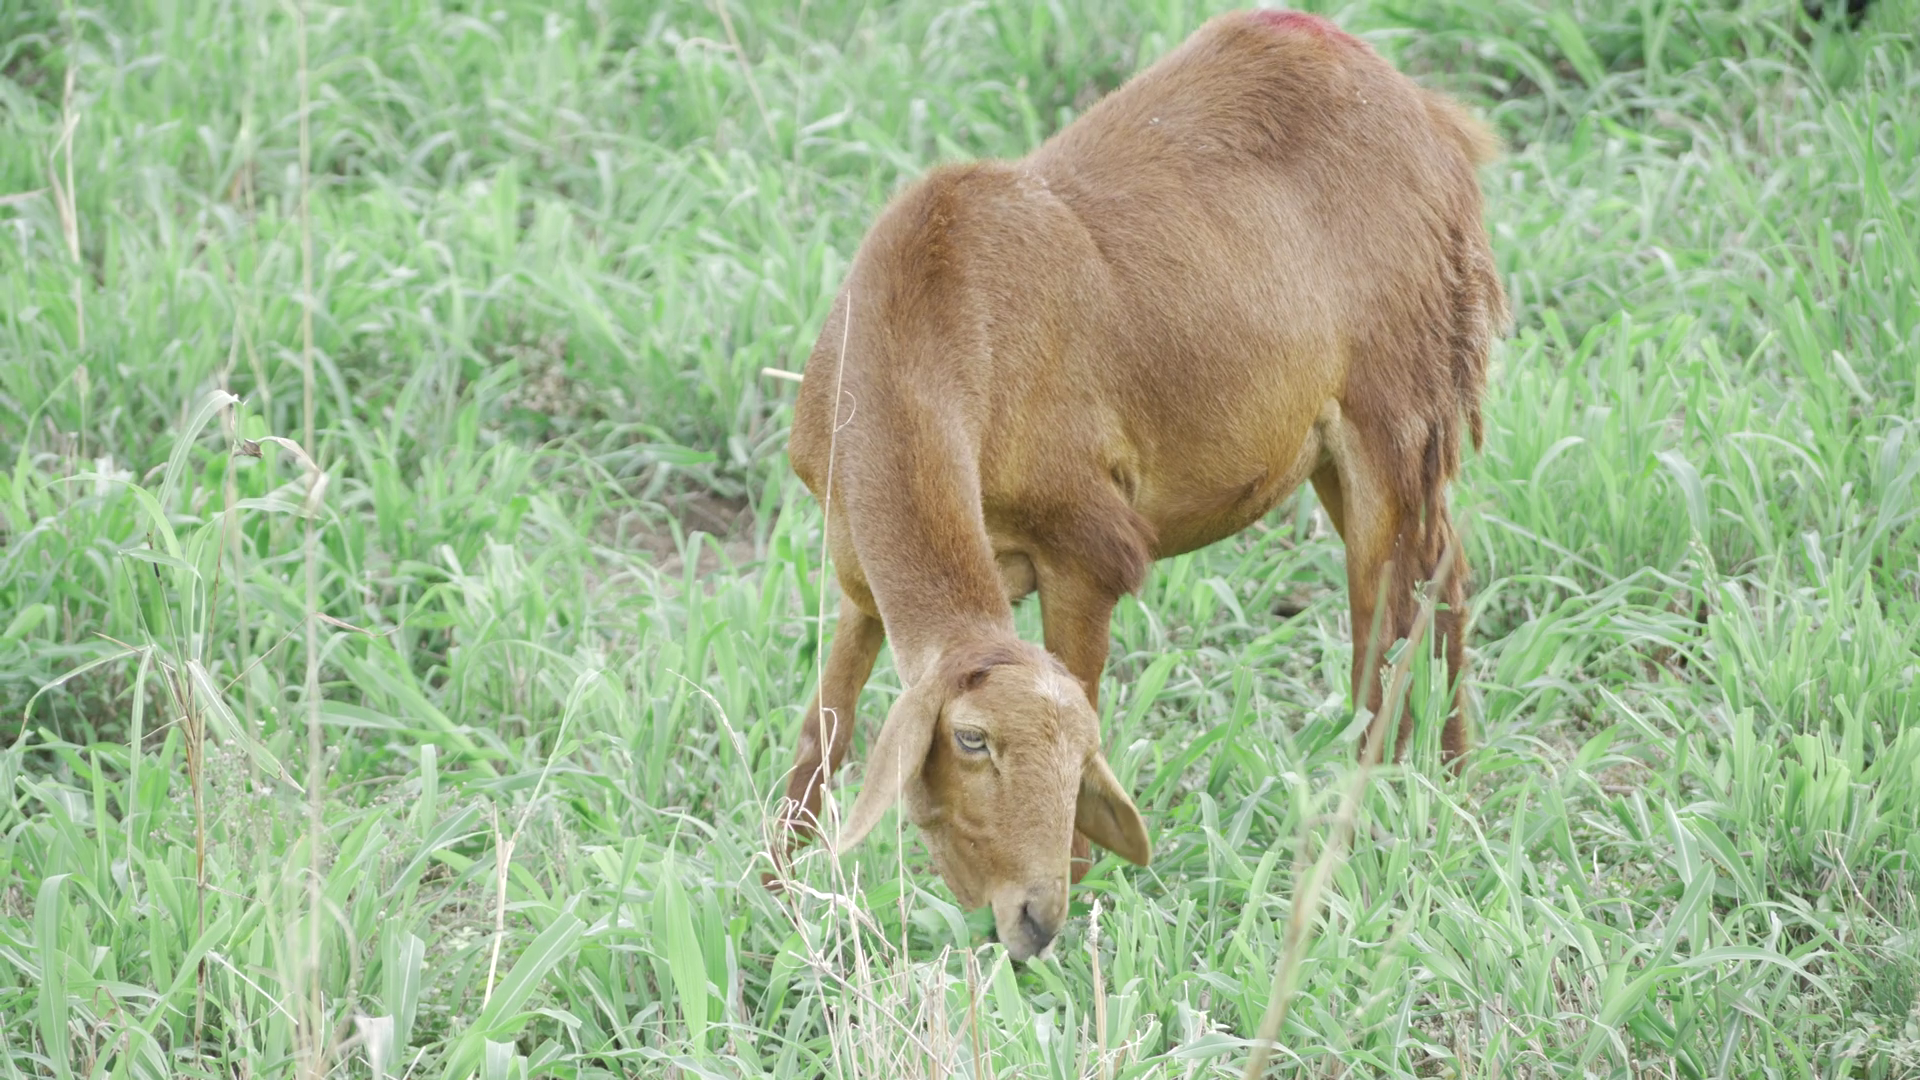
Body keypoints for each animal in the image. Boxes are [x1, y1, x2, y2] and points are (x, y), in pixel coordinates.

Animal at [773, 9, 1507, 961]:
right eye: (971, 740)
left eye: (1075, 754)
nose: (1032, 920)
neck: (927, 318)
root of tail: (1434, 116)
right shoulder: (860, 577)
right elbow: (820, 738)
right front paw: (768, 892)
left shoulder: (1086, 544)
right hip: (1344, 452)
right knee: (1442, 578)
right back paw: (1449, 783)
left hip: (1396, 409)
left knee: (1381, 628)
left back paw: (1378, 811)